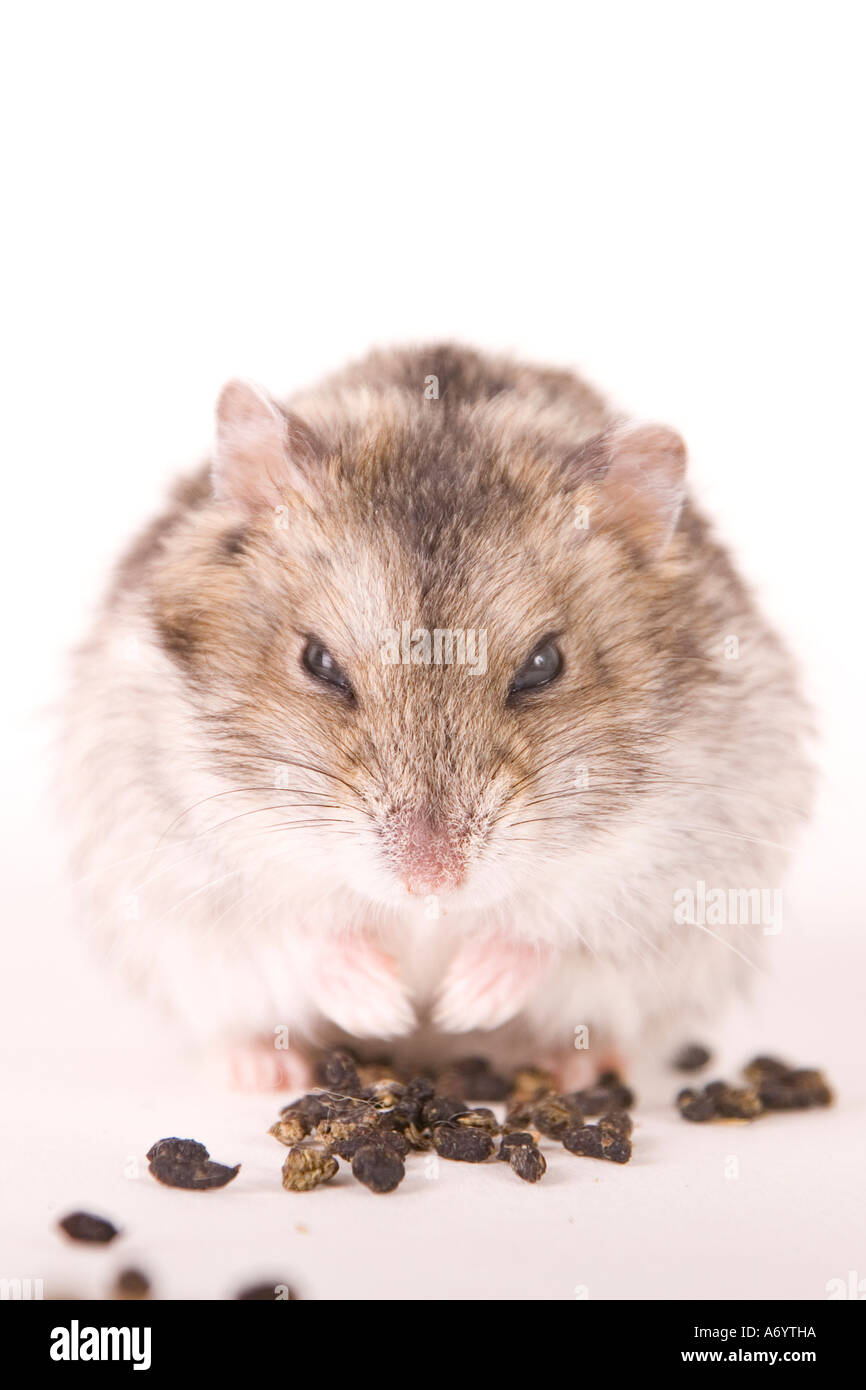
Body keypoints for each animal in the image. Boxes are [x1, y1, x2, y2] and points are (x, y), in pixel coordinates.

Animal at [62, 344, 814, 1090]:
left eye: (544, 664)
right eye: (319, 663)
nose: (432, 884)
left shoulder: (671, 880)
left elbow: (552, 934)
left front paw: (461, 1002)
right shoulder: (186, 866)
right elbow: (294, 931)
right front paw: (387, 1007)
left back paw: (574, 1066)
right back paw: (263, 1070)